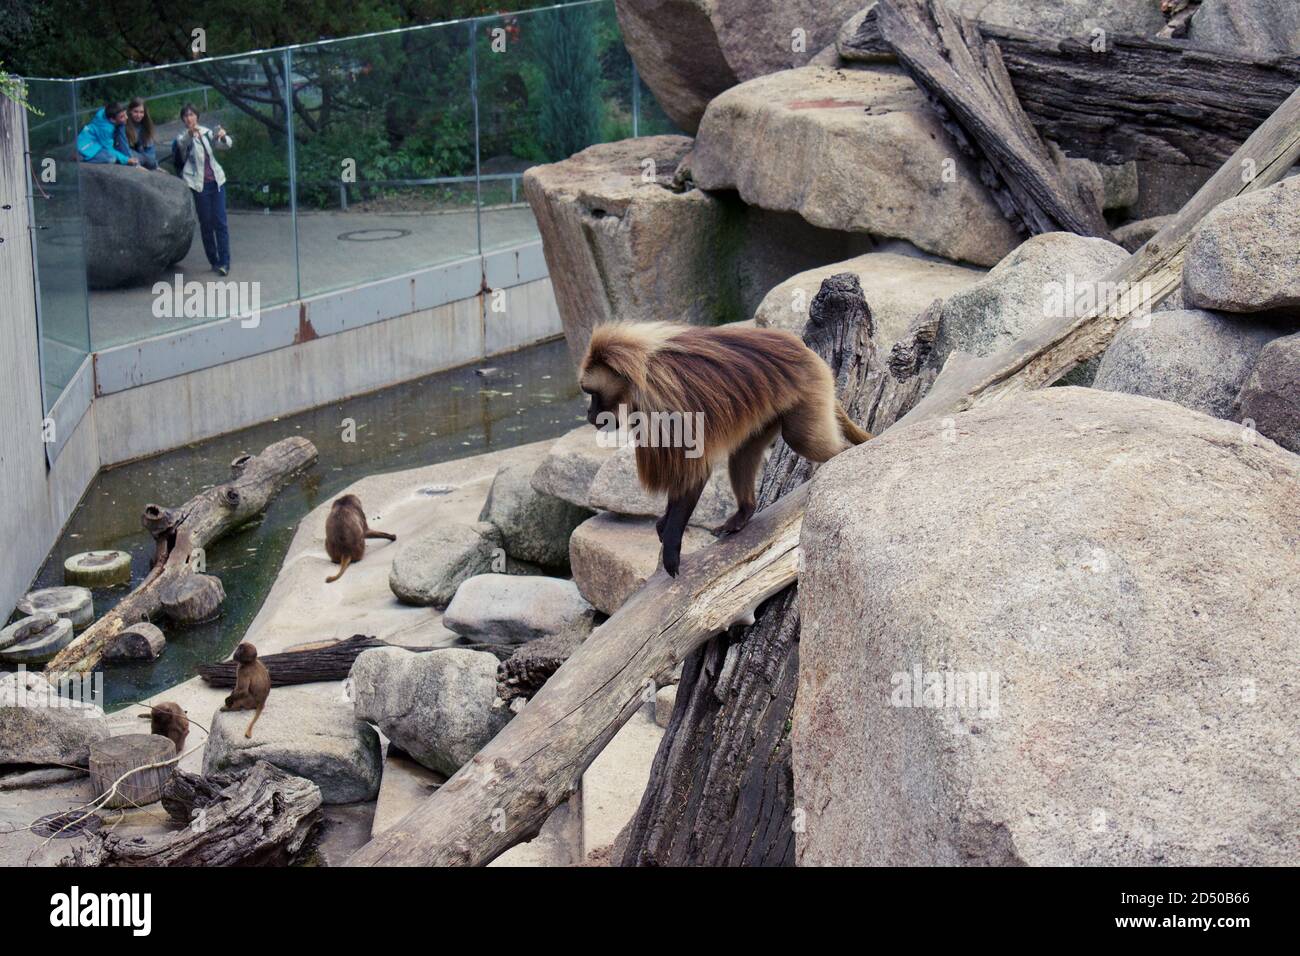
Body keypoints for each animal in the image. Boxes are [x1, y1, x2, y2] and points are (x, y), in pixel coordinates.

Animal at [579, 321, 871, 577]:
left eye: (593, 393)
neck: (638, 379)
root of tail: (807, 352)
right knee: (743, 453)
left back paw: (845, 458)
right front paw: (663, 524)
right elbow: (684, 478)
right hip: (767, 408)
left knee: (803, 439)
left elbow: (693, 473)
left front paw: (671, 548)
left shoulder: (667, 408)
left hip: (808, 393)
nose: (590, 415)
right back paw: (744, 513)